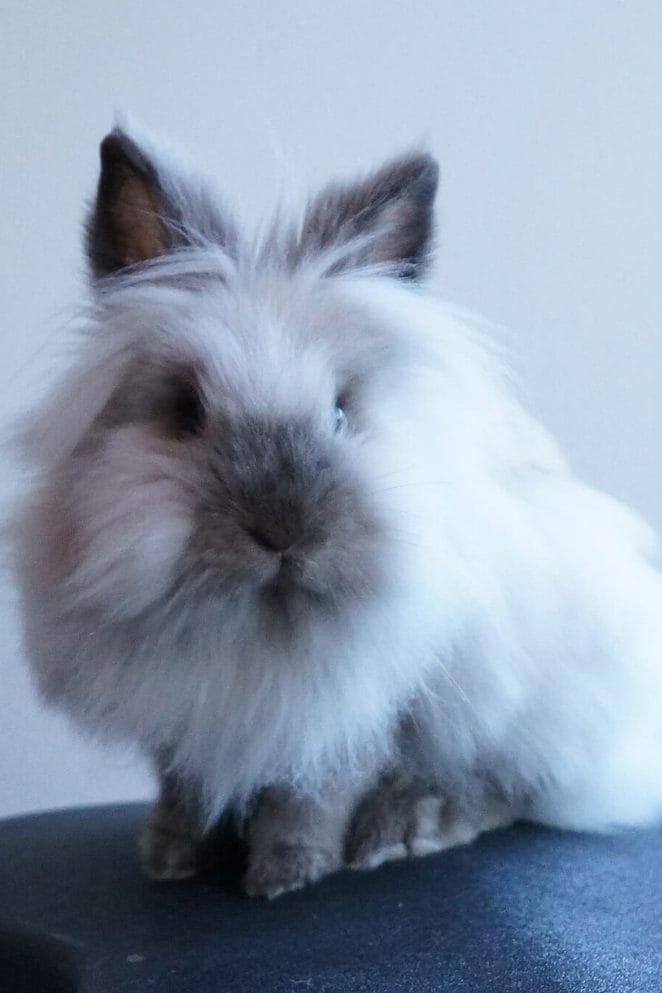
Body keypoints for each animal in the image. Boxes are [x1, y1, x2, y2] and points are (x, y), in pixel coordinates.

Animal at [9, 121, 662, 899]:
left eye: (342, 413)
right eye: (186, 413)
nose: (282, 533)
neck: (256, 626)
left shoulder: (355, 714)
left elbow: (313, 796)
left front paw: (286, 875)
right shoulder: (183, 719)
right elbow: (184, 789)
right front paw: (170, 859)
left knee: (509, 788)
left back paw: (407, 828)